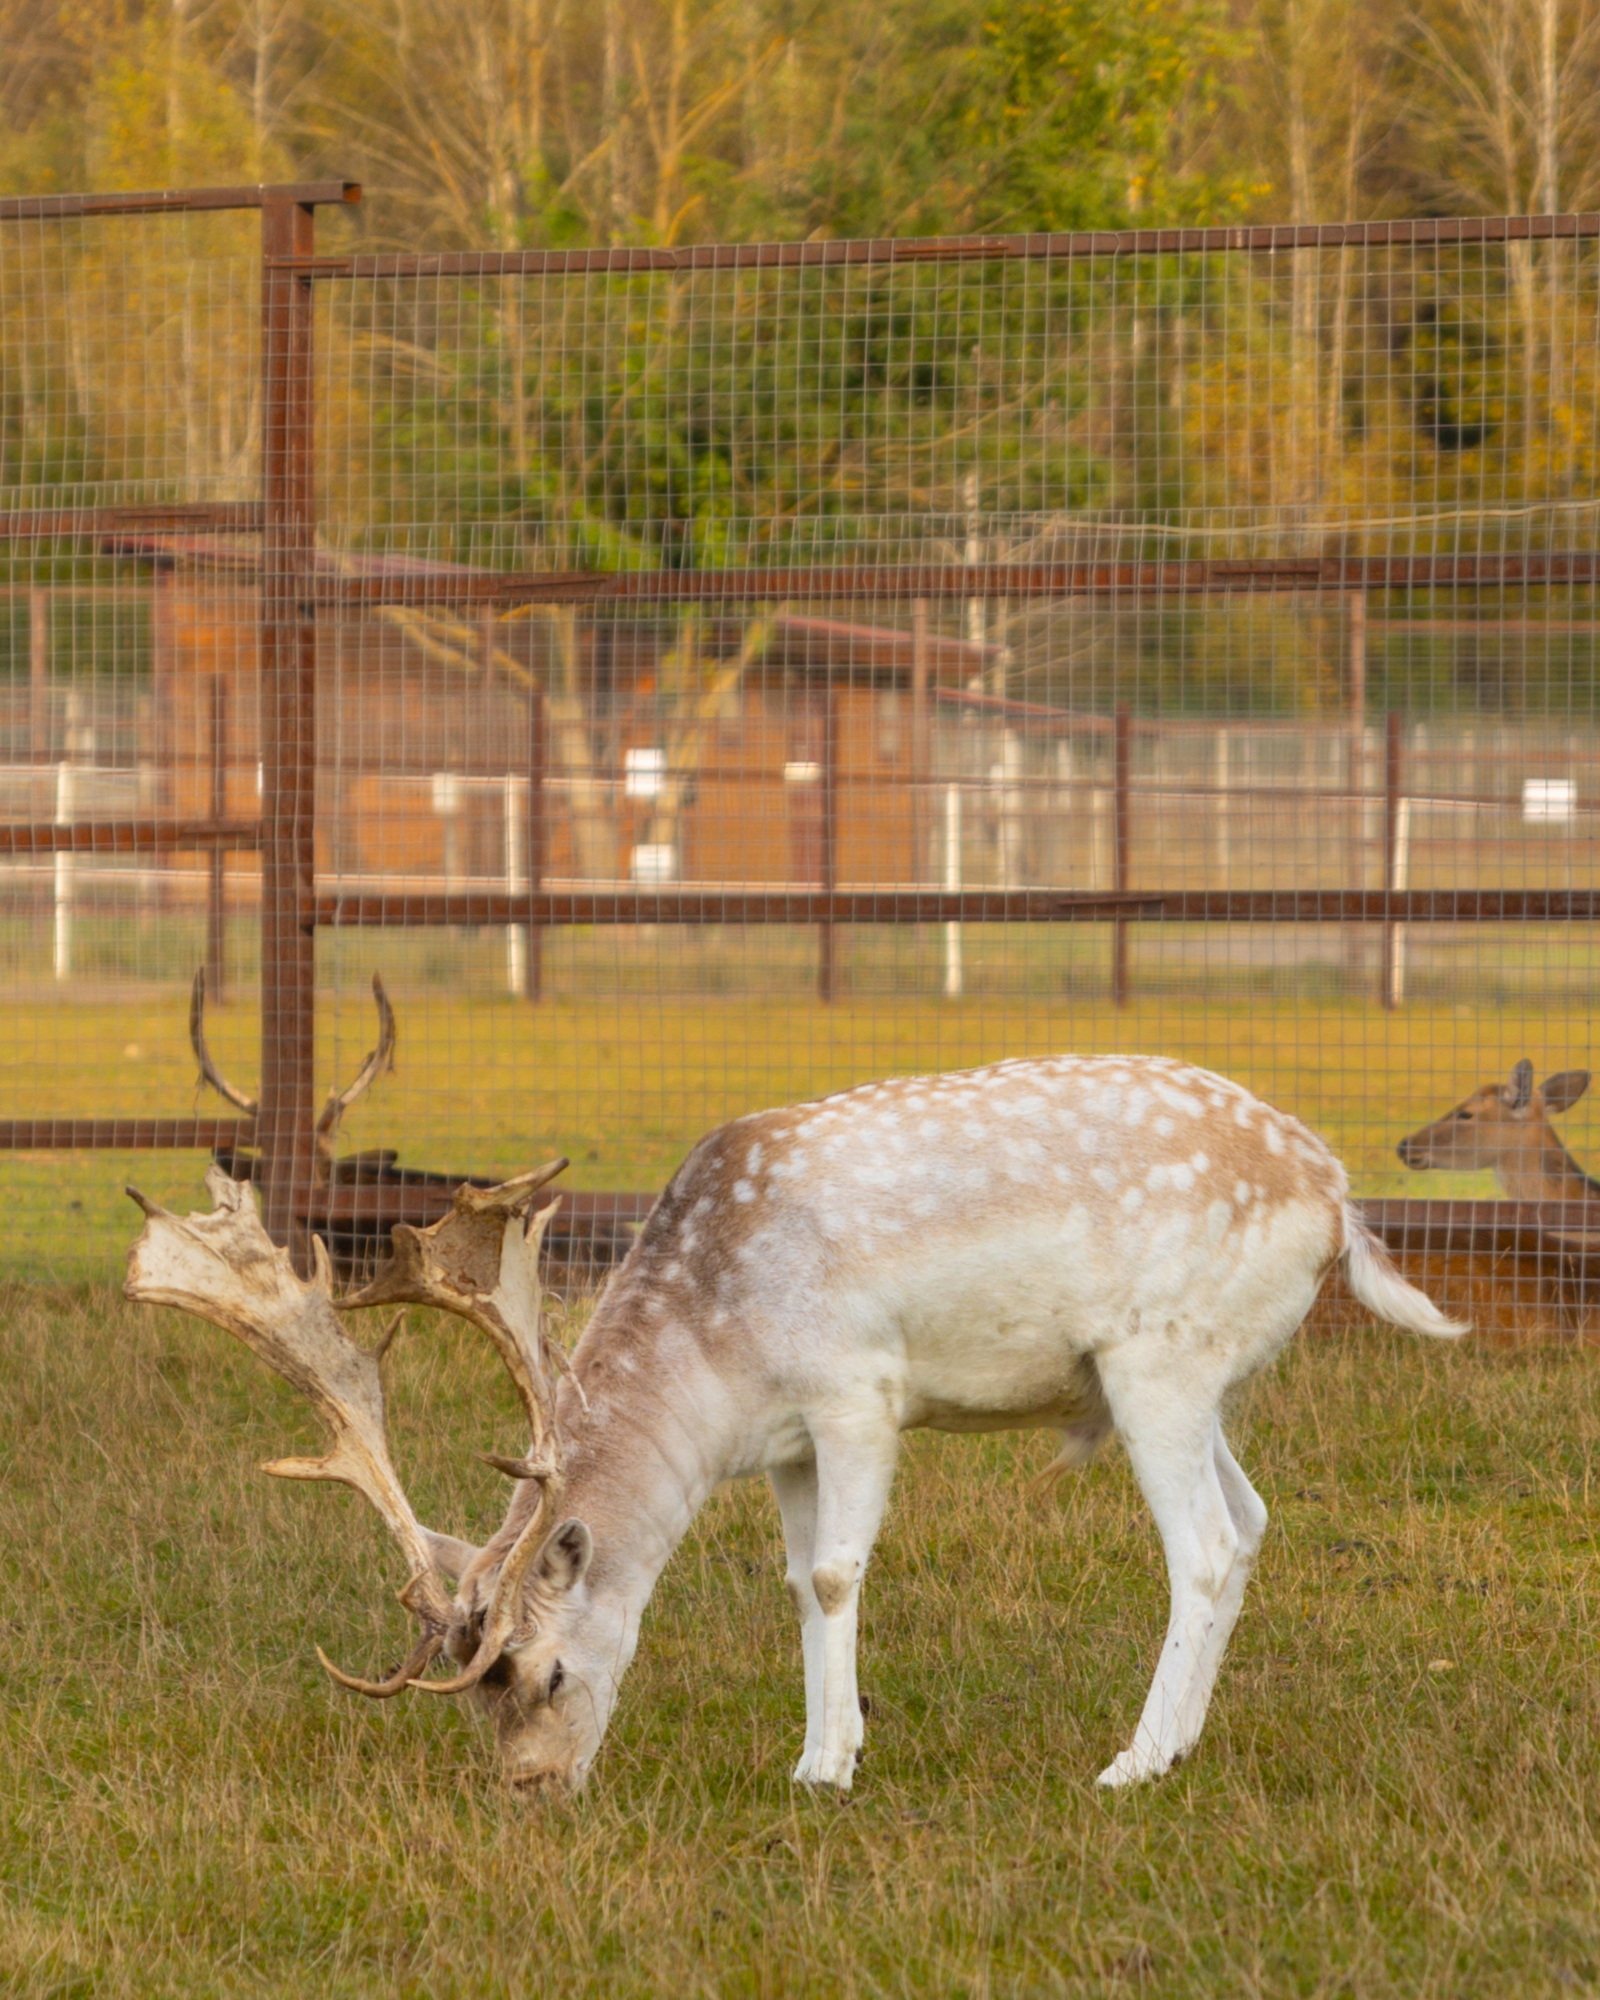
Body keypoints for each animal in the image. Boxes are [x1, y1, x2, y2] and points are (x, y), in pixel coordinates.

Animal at [131, 1056, 1472, 1792]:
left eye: (545, 1670)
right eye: (476, 1699)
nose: (530, 1789)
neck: (722, 1353)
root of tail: (1337, 1197)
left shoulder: (856, 1390)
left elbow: (834, 1571)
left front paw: (828, 1764)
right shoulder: (780, 1442)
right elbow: (791, 1576)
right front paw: (822, 1745)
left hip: (1159, 1362)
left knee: (1201, 1543)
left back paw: (1129, 1763)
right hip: (1207, 1379)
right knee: (1252, 1520)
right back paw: (1181, 1745)